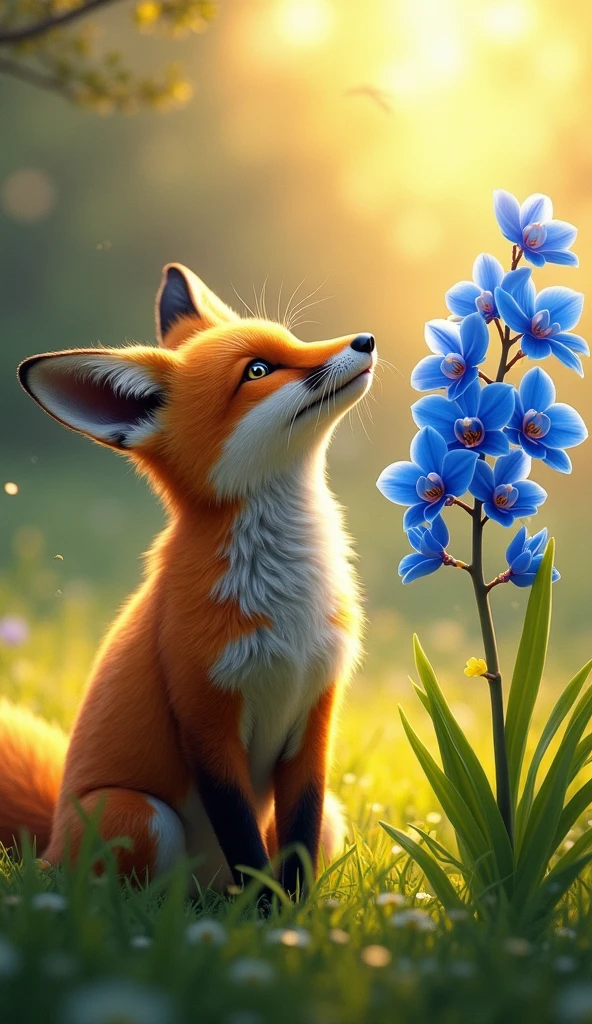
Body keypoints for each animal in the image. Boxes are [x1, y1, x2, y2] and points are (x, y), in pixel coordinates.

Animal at [0, 264, 376, 896]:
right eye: (258, 371)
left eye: (293, 340)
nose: (366, 340)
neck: (289, 606)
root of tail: (48, 842)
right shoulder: (205, 716)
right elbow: (243, 837)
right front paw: (269, 916)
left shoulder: (316, 715)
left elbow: (295, 847)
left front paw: (299, 916)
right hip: (139, 814)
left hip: (333, 816)